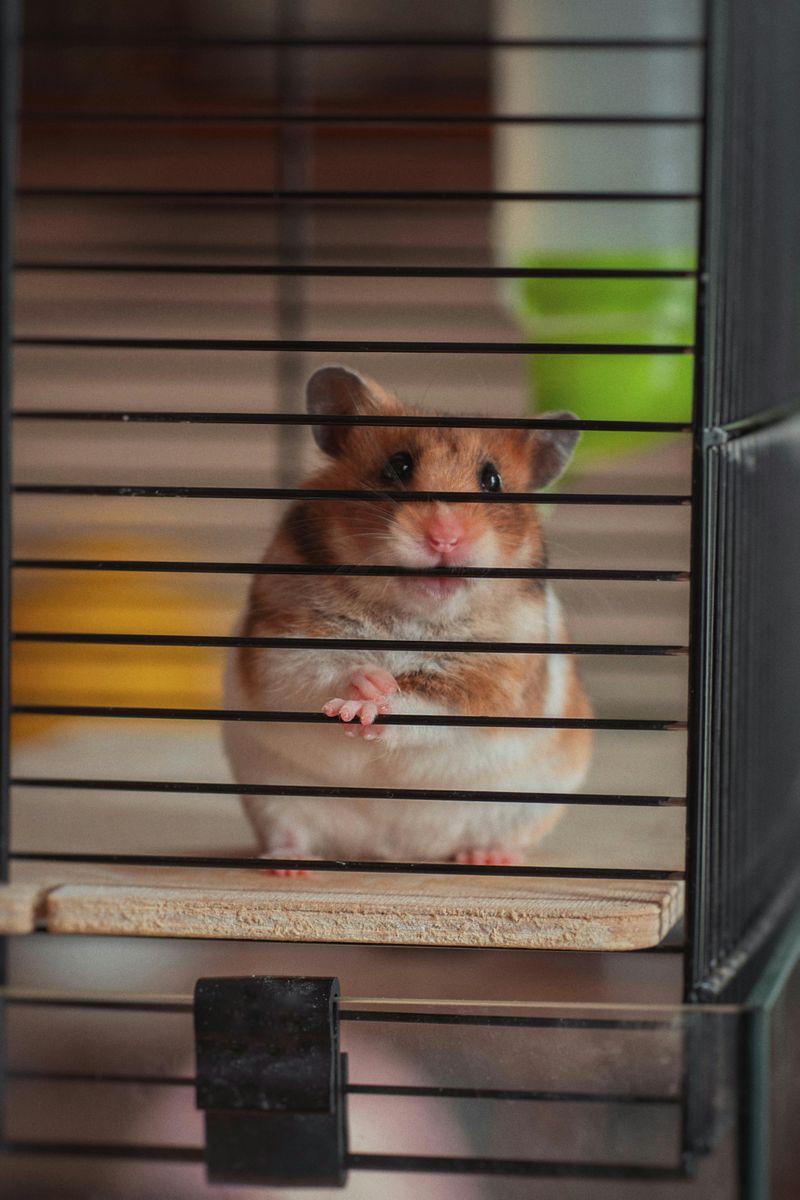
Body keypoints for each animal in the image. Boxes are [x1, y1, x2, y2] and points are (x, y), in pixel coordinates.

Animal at [223, 366, 592, 870]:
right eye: (398, 466)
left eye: (492, 480)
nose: (444, 538)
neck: (410, 616)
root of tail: (394, 850)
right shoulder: (283, 638)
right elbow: (319, 669)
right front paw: (364, 687)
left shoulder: (493, 677)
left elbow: (426, 705)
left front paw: (371, 704)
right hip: (272, 797)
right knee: (290, 832)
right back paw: (287, 866)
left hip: (529, 804)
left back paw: (488, 858)